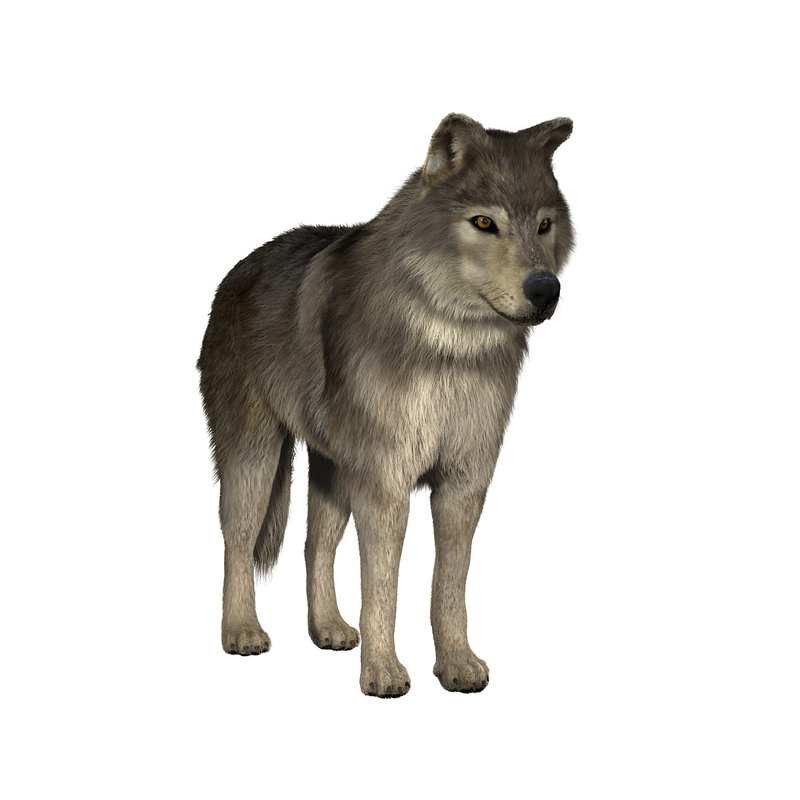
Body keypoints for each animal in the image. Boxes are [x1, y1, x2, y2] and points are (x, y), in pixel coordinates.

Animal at [198, 113, 574, 697]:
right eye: (484, 222)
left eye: (544, 225)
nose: (546, 290)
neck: (449, 349)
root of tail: (239, 268)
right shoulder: (386, 482)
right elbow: (383, 586)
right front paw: (383, 674)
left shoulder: (464, 483)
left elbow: (449, 586)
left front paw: (457, 665)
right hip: (255, 458)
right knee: (236, 541)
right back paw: (242, 633)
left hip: (333, 471)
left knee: (315, 546)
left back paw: (328, 629)